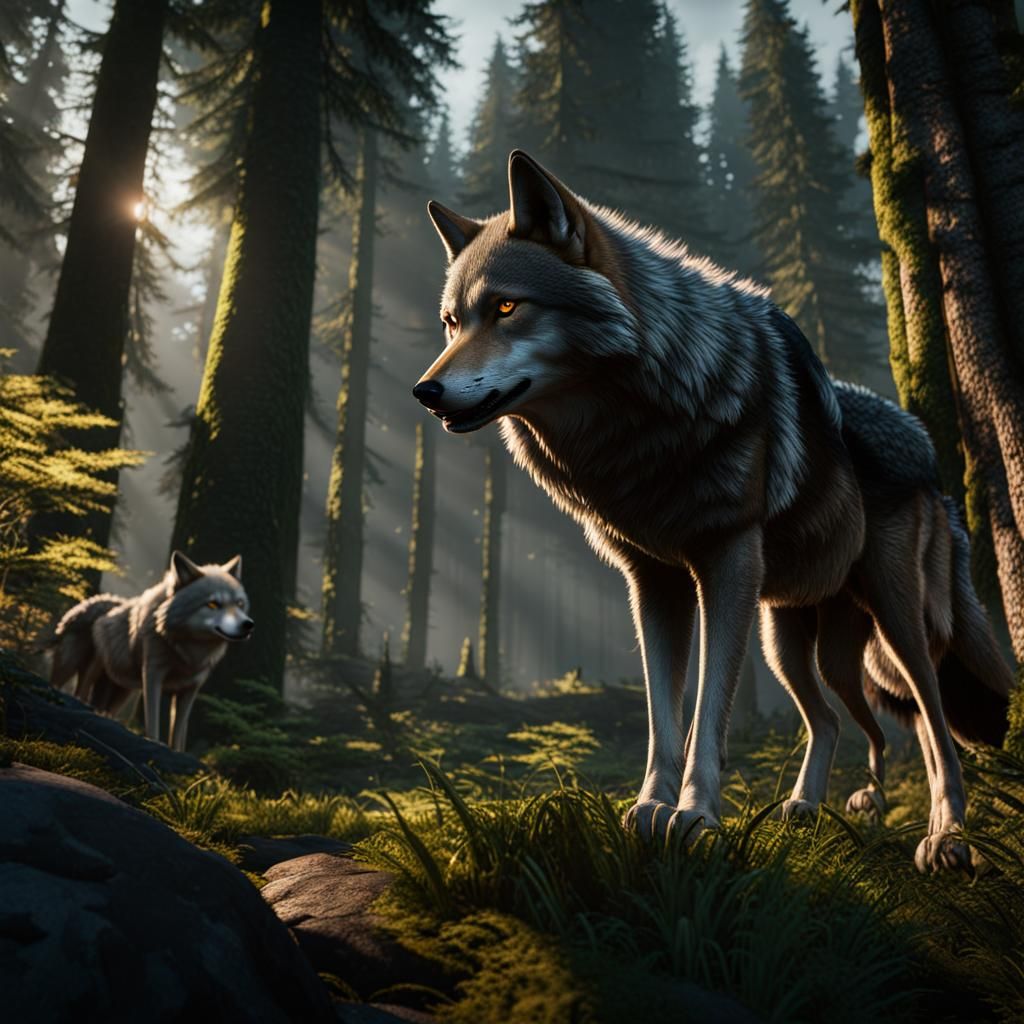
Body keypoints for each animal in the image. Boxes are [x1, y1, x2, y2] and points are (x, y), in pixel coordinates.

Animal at [49, 551, 253, 752]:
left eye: (239, 604)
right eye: (213, 604)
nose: (248, 624)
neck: (187, 651)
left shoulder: (190, 688)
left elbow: (178, 732)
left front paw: (177, 752)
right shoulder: (153, 676)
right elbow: (153, 721)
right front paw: (154, 743)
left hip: (123, 691)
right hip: (83, 670)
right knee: (75, 690)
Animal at [413, 150, 1013, 871]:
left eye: (506, 307)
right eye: (451, 322)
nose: (425, 391)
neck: (636, 431)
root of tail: (929, 457)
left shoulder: (726, 566)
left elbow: (706, 713)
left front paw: (696, 817)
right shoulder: (654, 583)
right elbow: (663, 719)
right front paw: (650, 811)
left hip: (893, 622)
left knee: (933, 721)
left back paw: (946, 838)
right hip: (793, 644)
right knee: (838, 720)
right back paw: (811, 811)